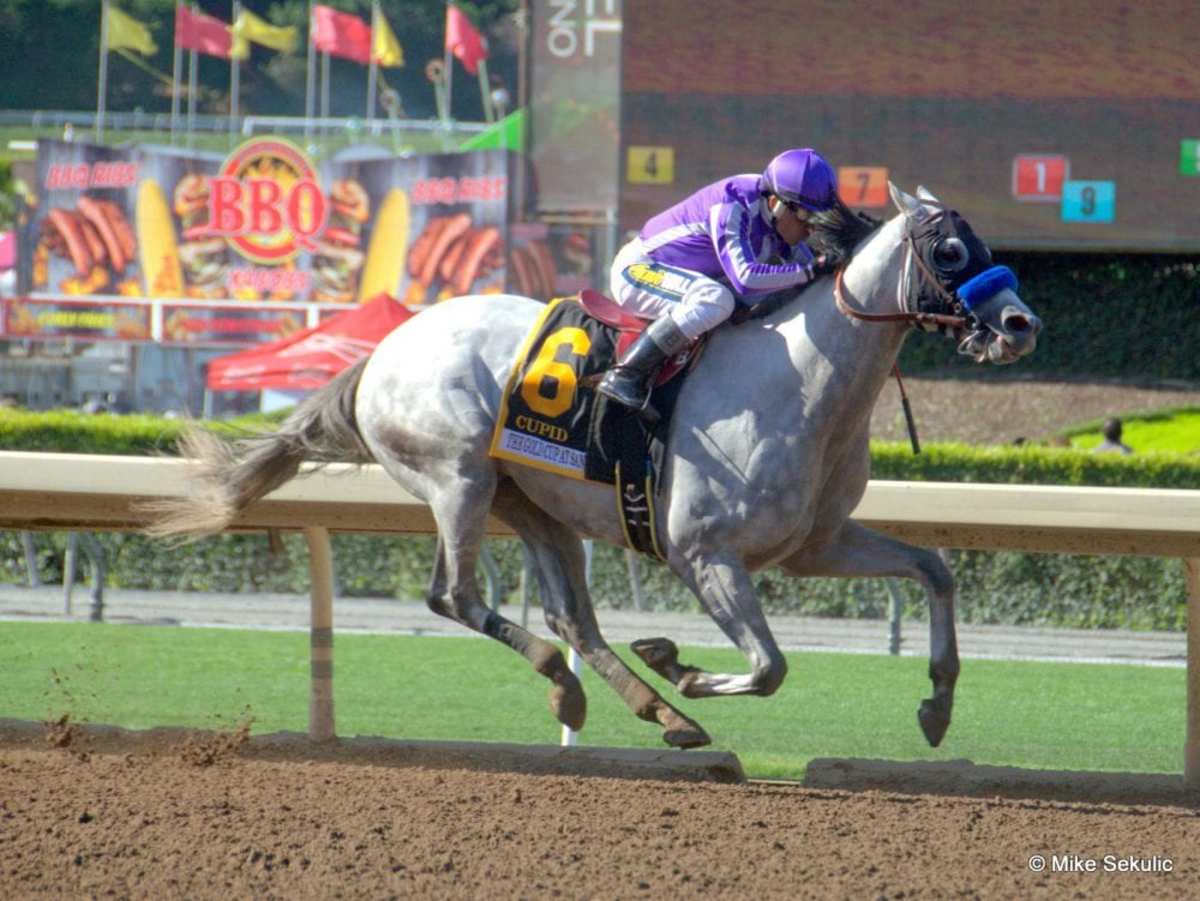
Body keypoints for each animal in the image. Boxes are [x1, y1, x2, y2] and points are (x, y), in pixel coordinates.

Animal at [151, 183, 1041, 751]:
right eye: (949, 249)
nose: (1020, 324)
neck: (799, 378)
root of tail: (382, 350)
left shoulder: (815, 545)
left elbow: (934, 569)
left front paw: (937, 704)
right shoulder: (705, 555)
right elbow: (769, 666)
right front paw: (681, 664)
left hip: (534, 502)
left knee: (572, 617)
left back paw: (652, 710)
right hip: (459, 477)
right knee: (456, 595)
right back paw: (588, 686)